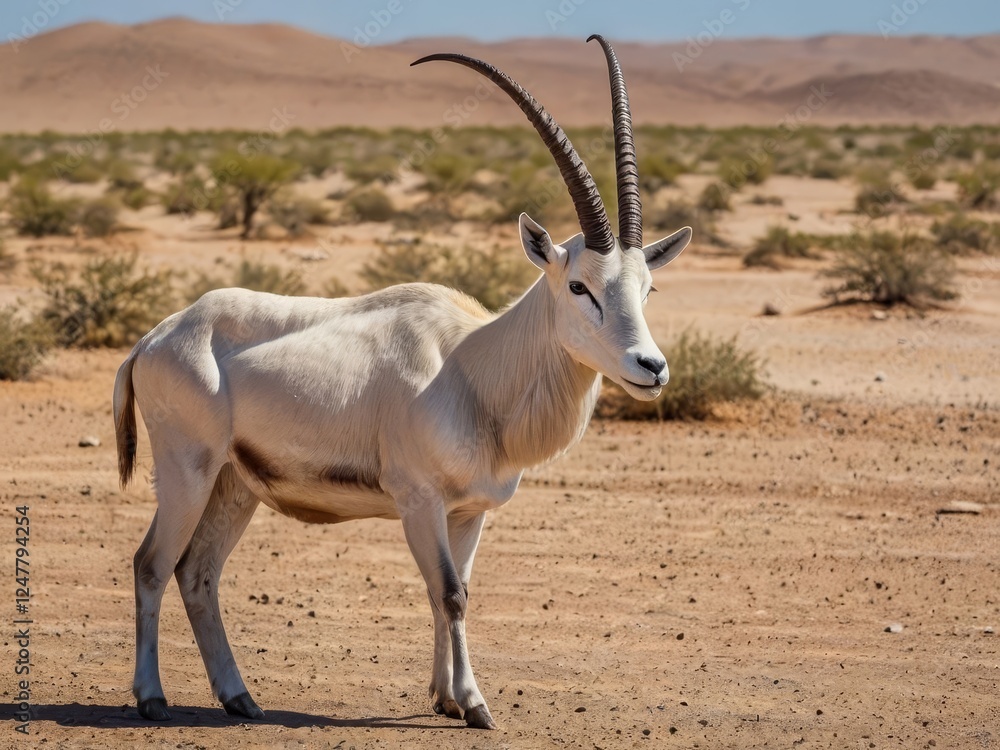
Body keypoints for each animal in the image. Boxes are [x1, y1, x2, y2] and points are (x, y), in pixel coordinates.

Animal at [114, 35, 691, 729]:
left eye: (648, 288)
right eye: (580, 286)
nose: (650, 367)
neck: (471, 366)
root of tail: (156, 337)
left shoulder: (467, 512)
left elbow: (451, 593)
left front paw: (445, 698)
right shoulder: (419, 501)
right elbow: (450, 592)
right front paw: (476, 705)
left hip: (234, 484)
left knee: (197, 573)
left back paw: (240, 697)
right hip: (186, 471)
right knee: (152, 564)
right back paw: (151, 697)